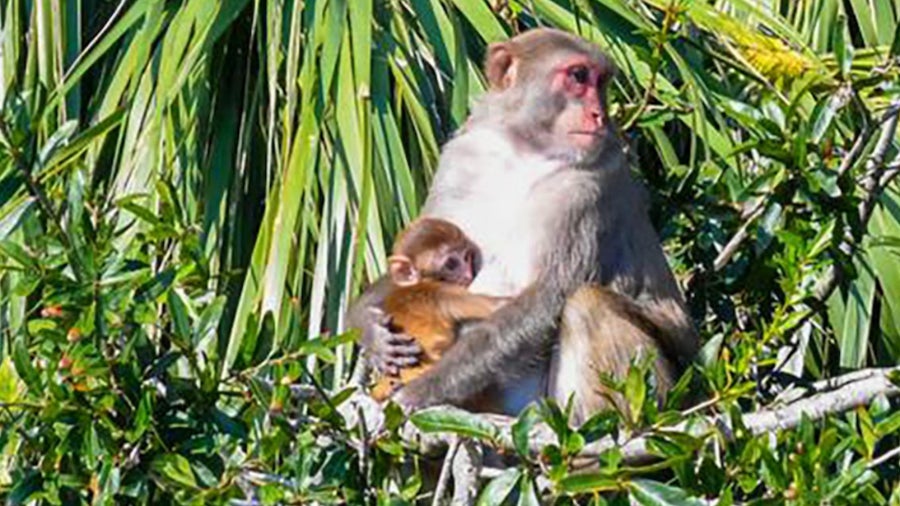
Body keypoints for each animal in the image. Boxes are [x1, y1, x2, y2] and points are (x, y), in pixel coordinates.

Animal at [369, 218, 507, 407]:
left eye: (466, 257)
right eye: (451, 264)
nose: (468, 274)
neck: (417, 283)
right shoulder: (441, 293)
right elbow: (499, 306)